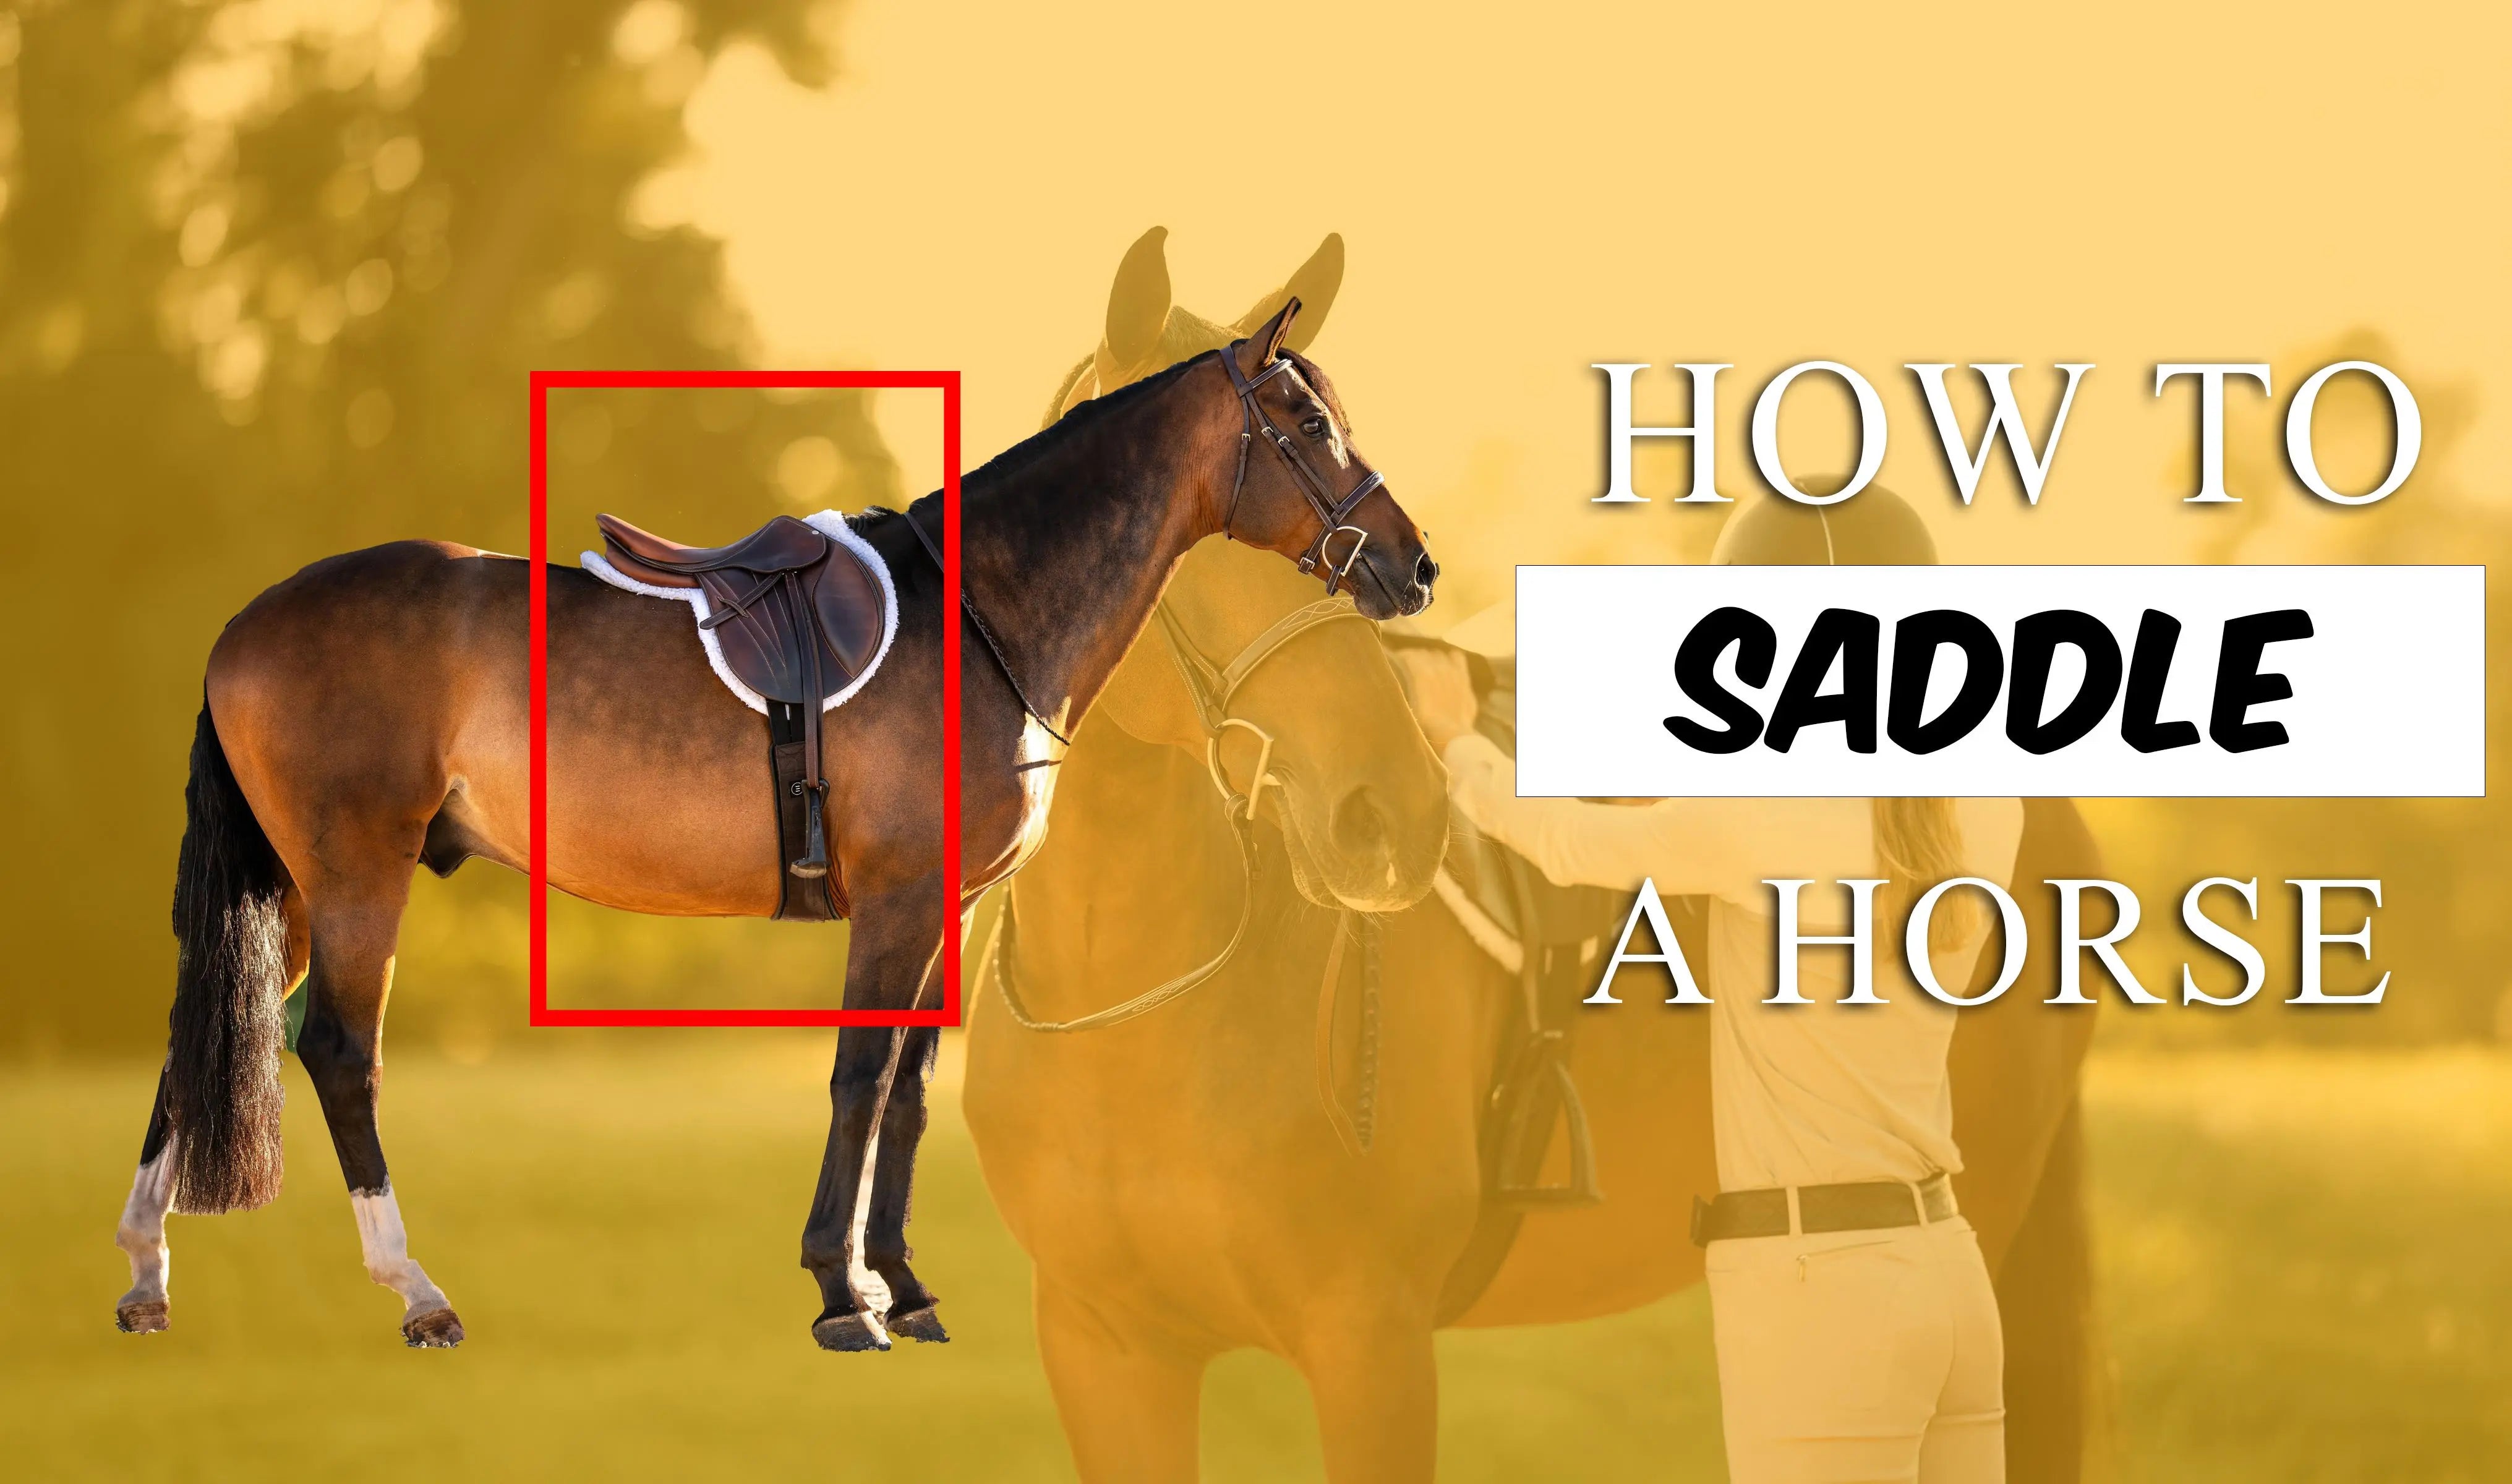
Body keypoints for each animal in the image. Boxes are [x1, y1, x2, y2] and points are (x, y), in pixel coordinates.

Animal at [112, 293, 1438, 1355]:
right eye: (1303, 425)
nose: (1413, 566)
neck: (979, 616)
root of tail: (244, 626)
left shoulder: (947, 906)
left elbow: (910, 1086)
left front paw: (902, 1285)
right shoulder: (897, 902)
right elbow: (860, 1076)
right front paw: (842, 1296)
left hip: (287, 886)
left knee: (197, 1033)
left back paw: (146, 1277)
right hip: (355, 875)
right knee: (339, 1054)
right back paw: (417, 1294)